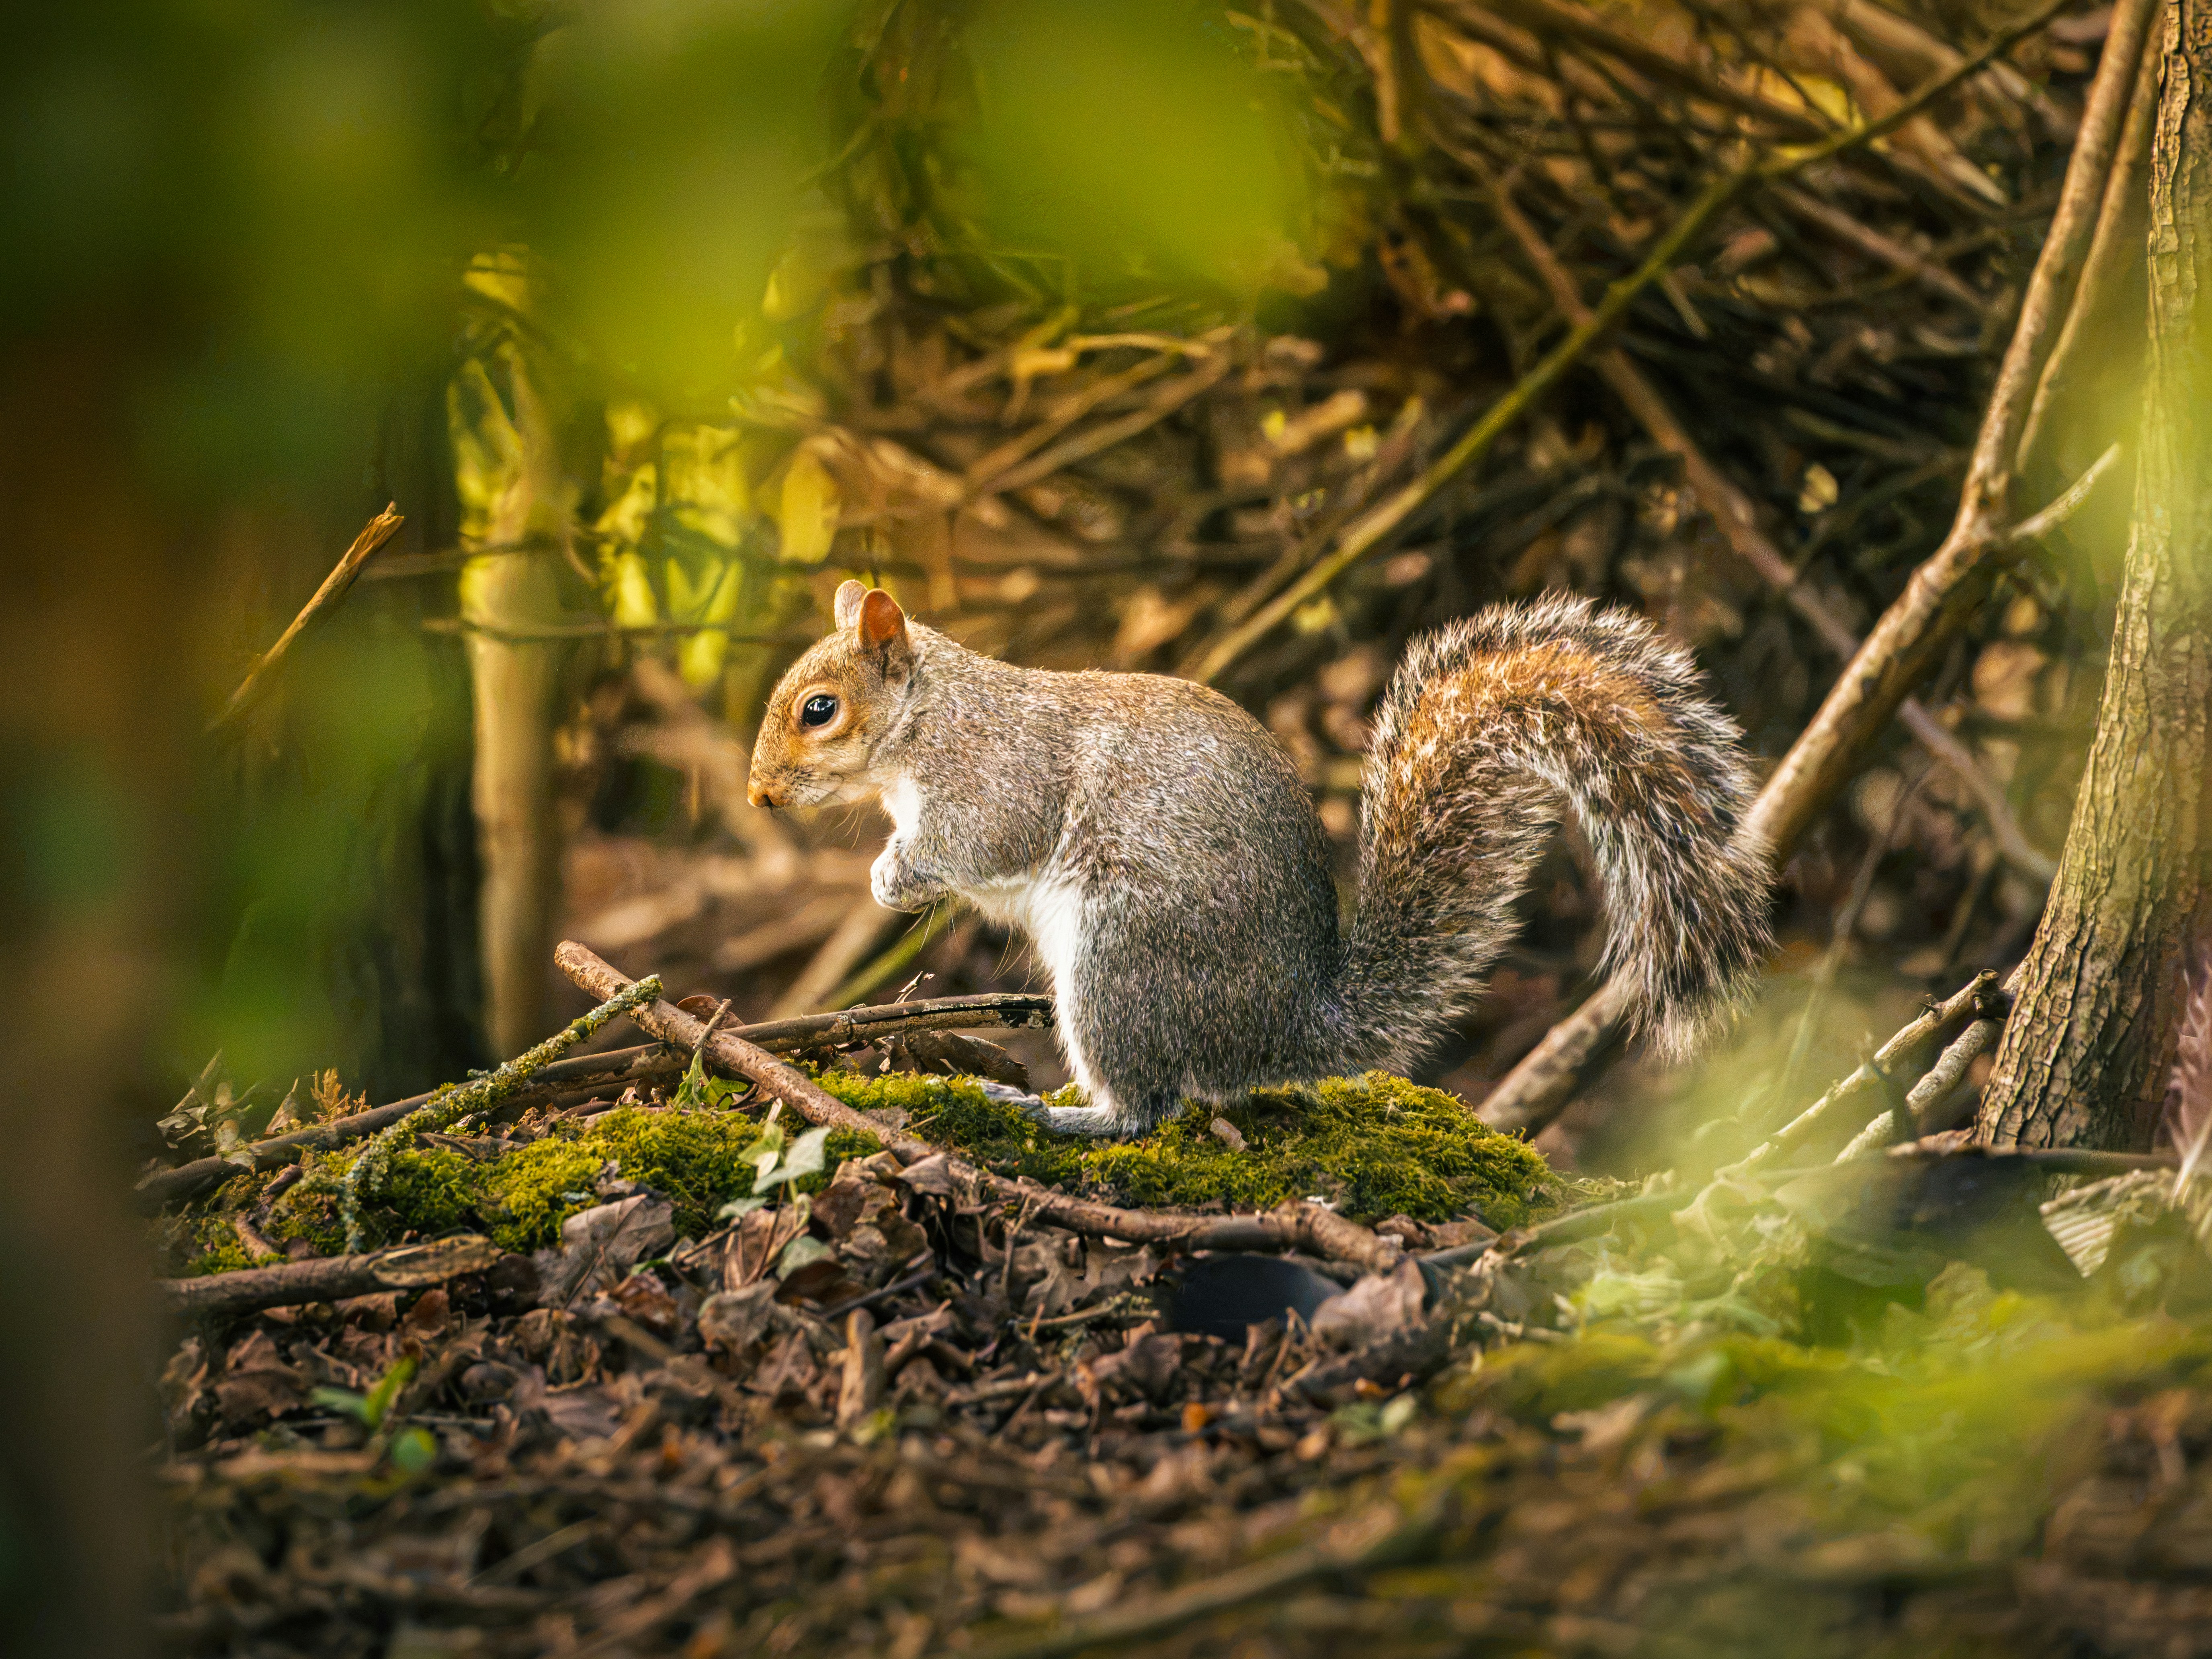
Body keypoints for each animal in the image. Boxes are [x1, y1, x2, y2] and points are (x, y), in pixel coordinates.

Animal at [746, 580, 1773, 1137]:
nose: (758, 795)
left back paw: (1060, 1108)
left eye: (819, 710)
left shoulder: (996, 779)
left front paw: (892, 878)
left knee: (1148, 1105)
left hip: (1124, 958)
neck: (928, 720)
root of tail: (1290, 1026)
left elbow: (981, 839)